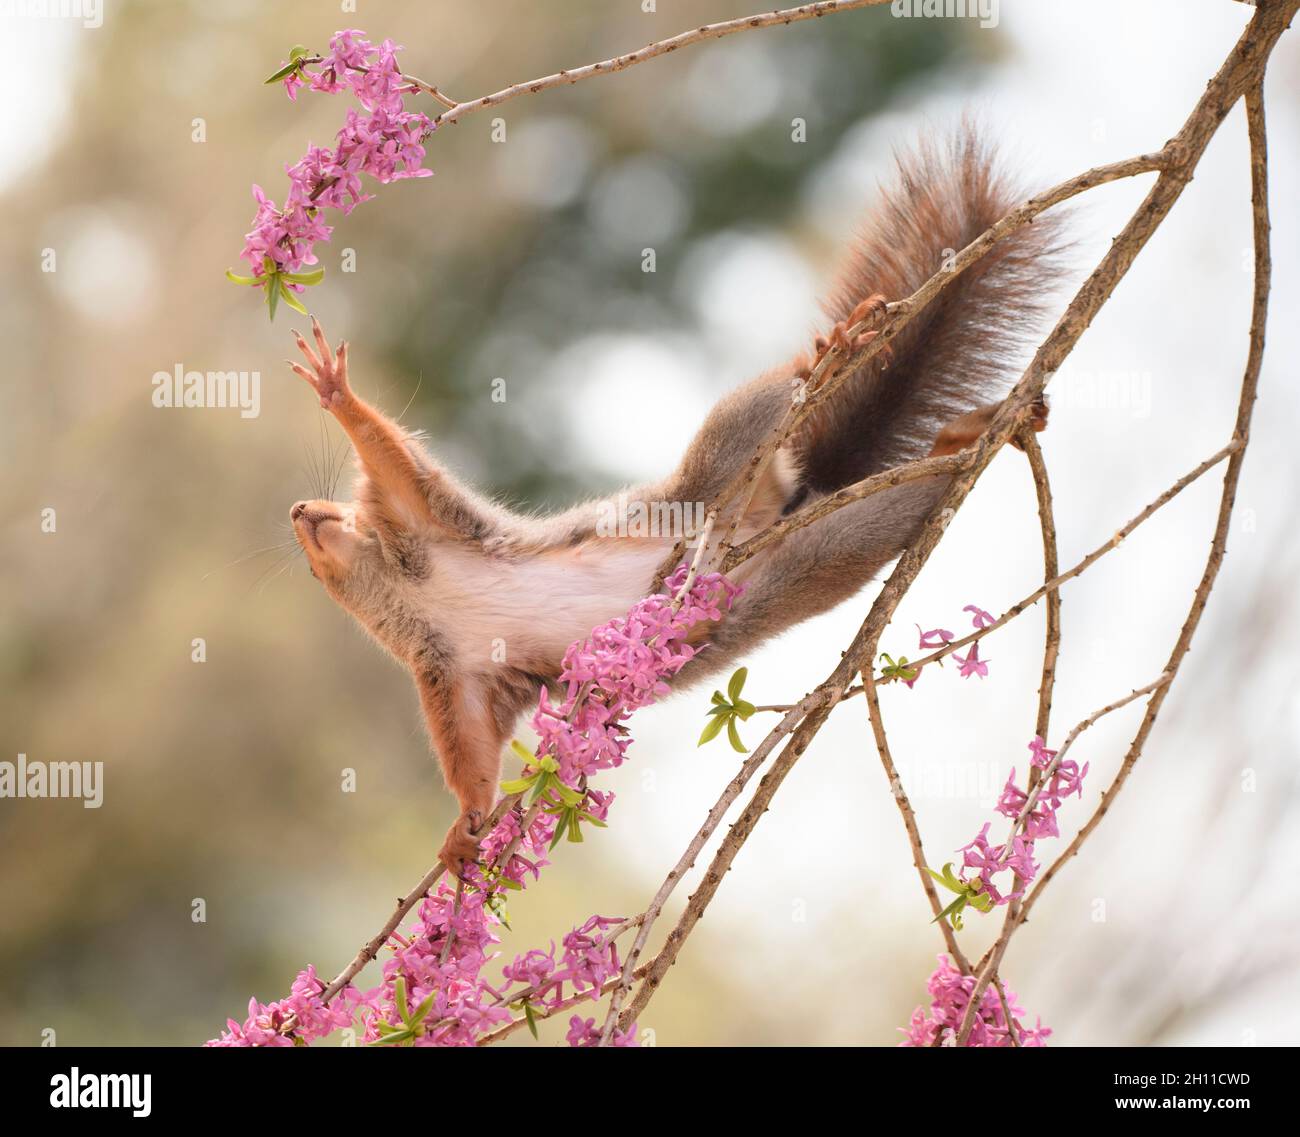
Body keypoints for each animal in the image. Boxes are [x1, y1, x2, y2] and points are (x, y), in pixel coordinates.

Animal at [284, 128, 1060, 875]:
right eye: (309, 564)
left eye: (320, 537)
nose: (296, 512)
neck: (411, 593)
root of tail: (775, 509)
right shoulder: (460, 681)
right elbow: (473, 760)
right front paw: (463, 831)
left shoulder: (433, 523)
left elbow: (397, 467)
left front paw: (336, 392)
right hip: (820, 555)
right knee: (897, 509)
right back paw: (967, 436)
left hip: (729, 452)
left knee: (789, 393)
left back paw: (844, 347)